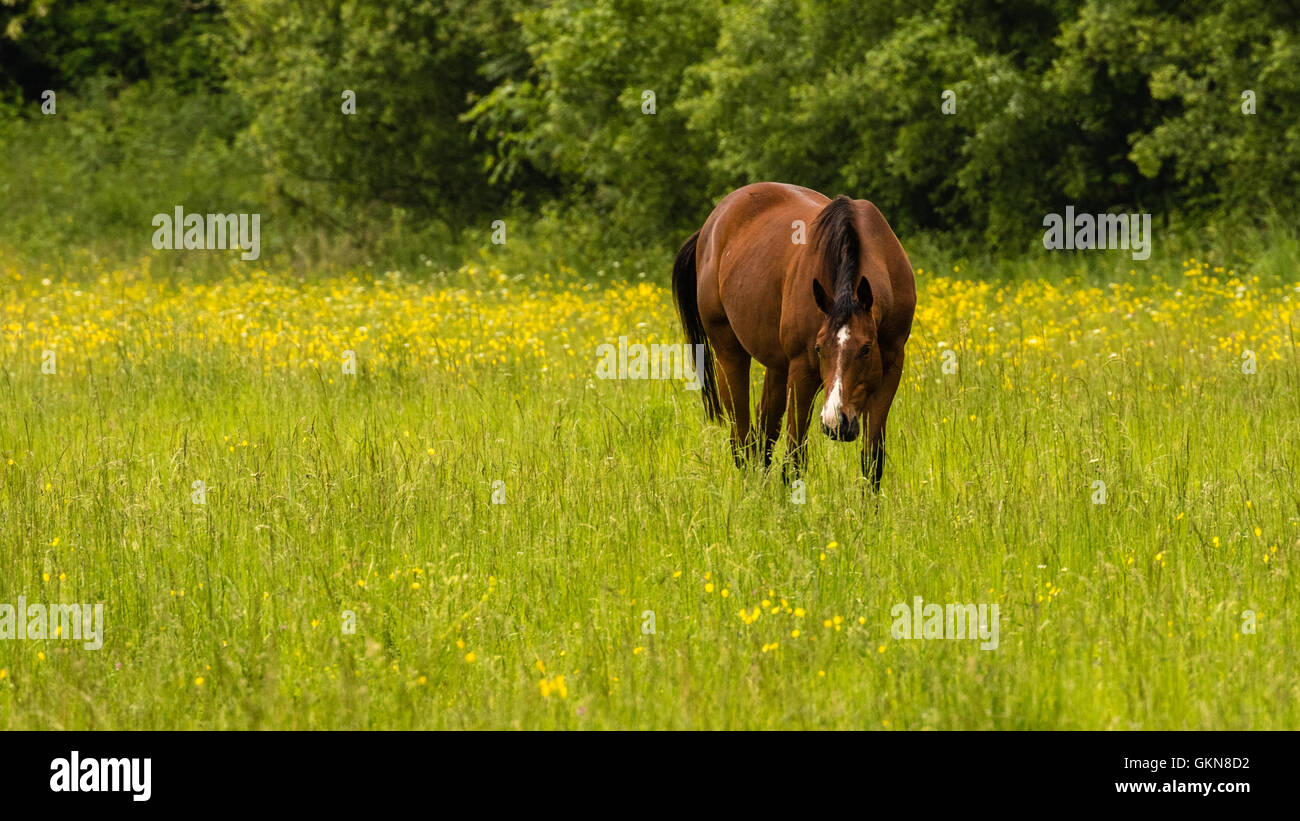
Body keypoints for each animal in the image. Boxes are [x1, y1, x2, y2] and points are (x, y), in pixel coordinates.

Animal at [672, 182, 916, 489]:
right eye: (819, 349)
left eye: (866, 349)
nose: (836, 423)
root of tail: (710, 226)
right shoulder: (802, 370)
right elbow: (794, 458)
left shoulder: (890, 369)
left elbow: (872, 461)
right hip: (730, 356)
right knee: (742, 440)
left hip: (777, 368)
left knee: (763, 436)